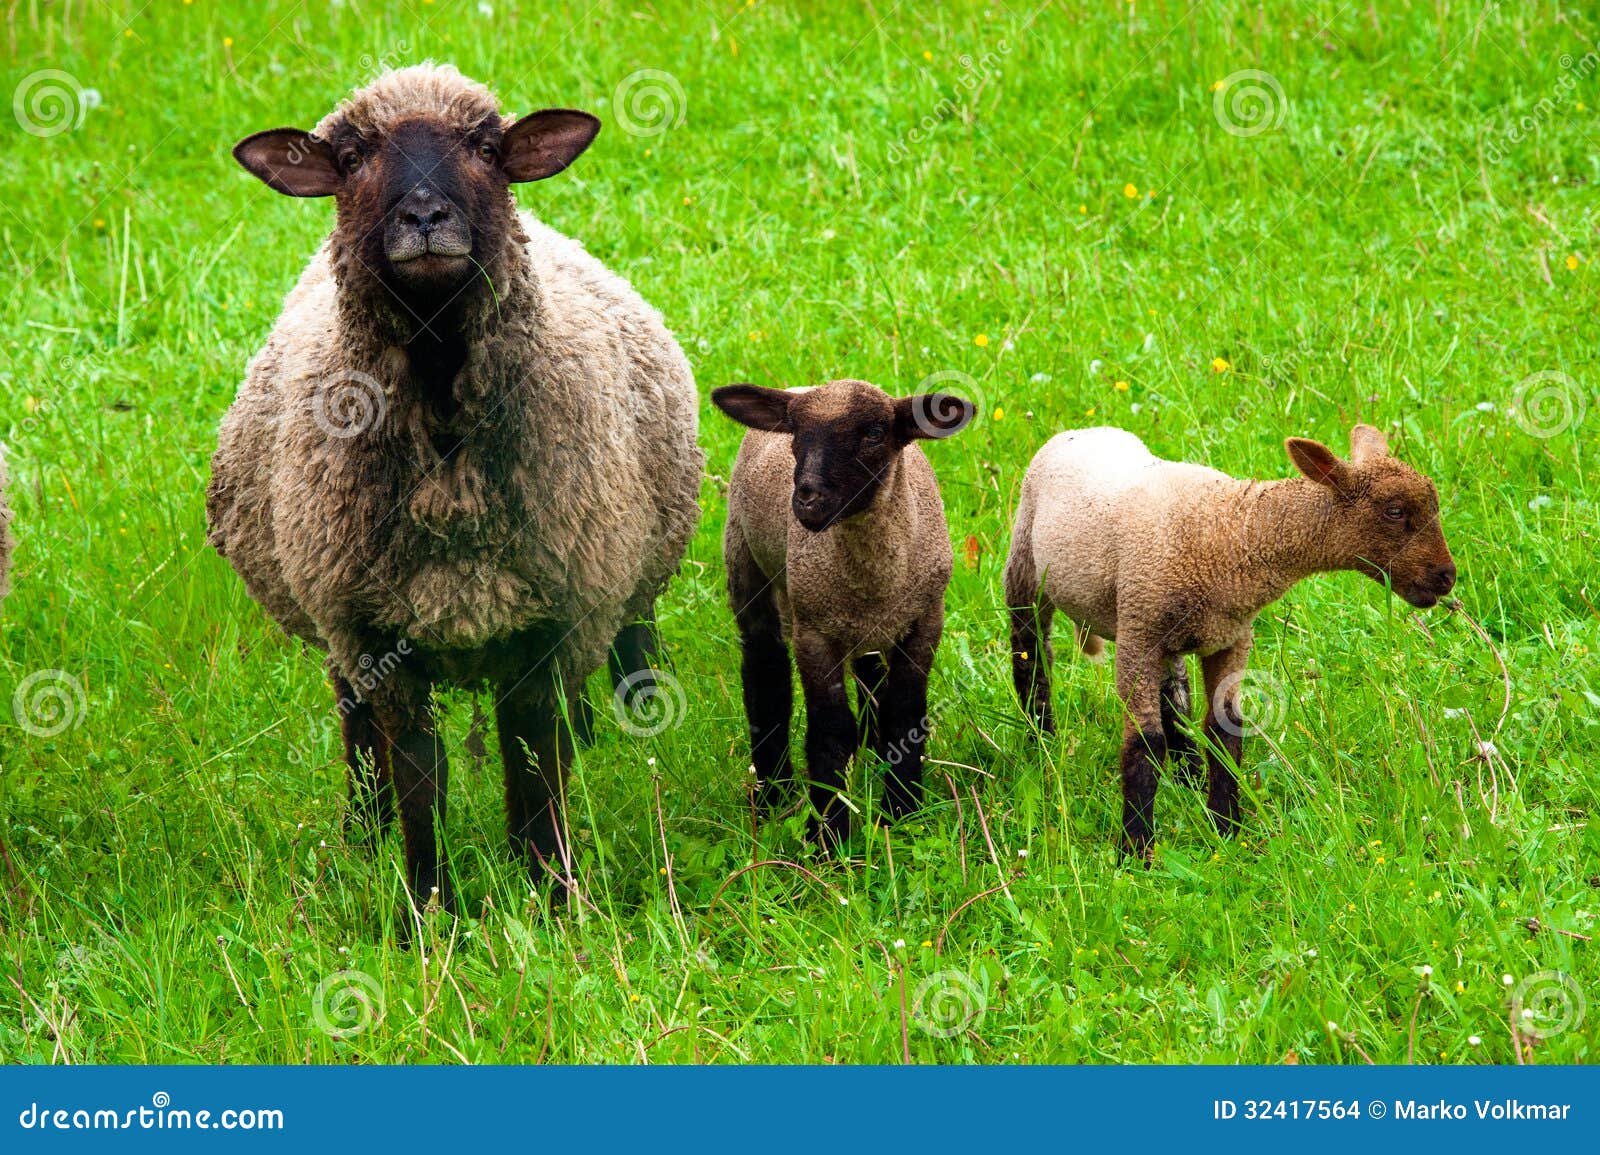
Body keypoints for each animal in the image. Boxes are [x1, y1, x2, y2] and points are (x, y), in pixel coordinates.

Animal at [207, 64, 703, 920]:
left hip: (626, 570)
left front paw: (550, 892)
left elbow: (535, 761)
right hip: (335, 617)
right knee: (356, 728)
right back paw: (361, 835)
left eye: (485, 147)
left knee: (626, 648)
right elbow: (418, 773)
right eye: (352, 154)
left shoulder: (552, 617)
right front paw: (424, 908)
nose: (425, 216)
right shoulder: (374, 632)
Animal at [711, 380, 975, 842]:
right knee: (764, 673)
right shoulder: (814, 632)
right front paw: (828, 837)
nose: (808, 500)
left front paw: (902, 813)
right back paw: (774, 792)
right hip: (747, 565)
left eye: (874, 434)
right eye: (795, 434)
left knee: (868, 673)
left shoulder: (925, 620)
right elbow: (831, 729)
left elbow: (904, 713)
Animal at [1004, 423, 1456, 859]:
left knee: (1174, 694)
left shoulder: (1231, 639)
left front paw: (1226, 830)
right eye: (1394, 511)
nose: (1446, 577)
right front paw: (1135, 849)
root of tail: (1083, 431)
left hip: (1172, 636)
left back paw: (1186, 773)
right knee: (1031, 654)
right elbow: (1143, 743)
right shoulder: (1138, 632)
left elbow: (1225, 731)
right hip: (1027, 566)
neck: (1232, 530)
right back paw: (1042, 743)